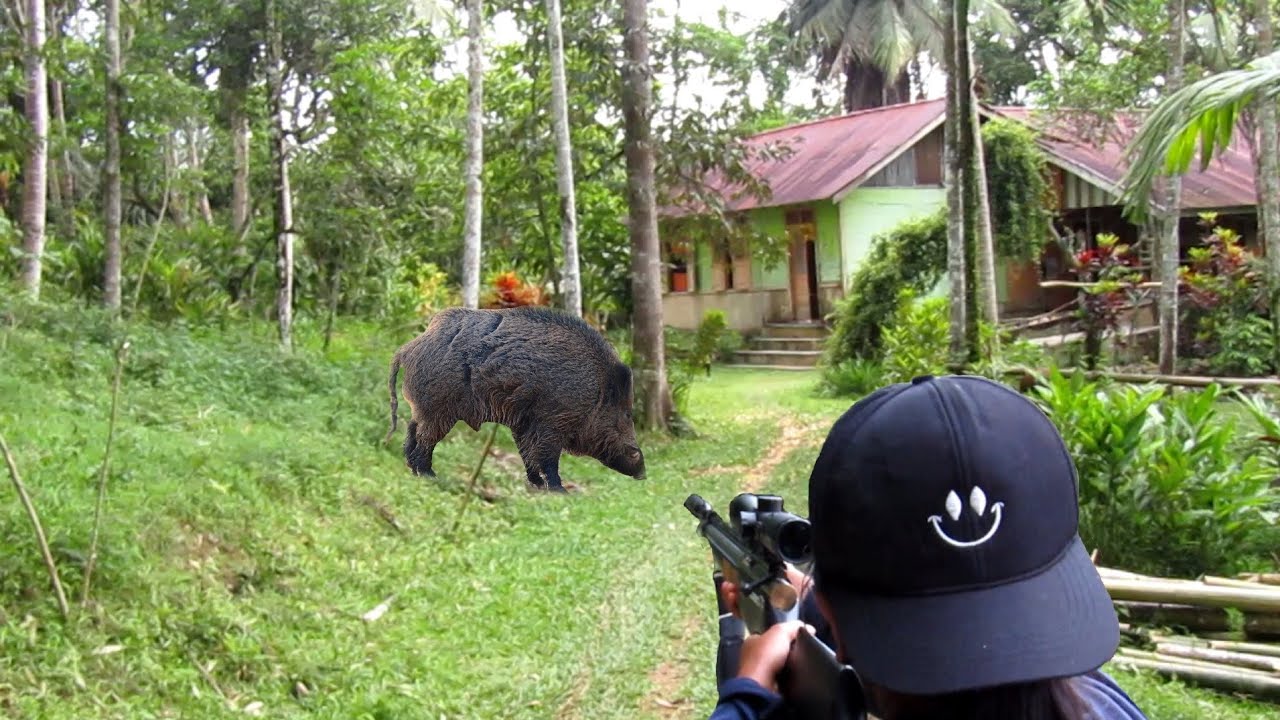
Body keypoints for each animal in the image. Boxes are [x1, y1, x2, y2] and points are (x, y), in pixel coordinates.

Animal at [384, 306, 646, 492]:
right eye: (626, 413)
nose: (643, 473)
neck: (596, 393)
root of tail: (408, 348)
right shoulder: (552, 422)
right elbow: (547, 457)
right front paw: (559, 491)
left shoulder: (523, 423)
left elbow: (527, 453)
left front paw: (537, 485)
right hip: (438, 410)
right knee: (423, 439)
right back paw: (429, 475)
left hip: (423, 408)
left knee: (411, 432)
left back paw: (412, 468)